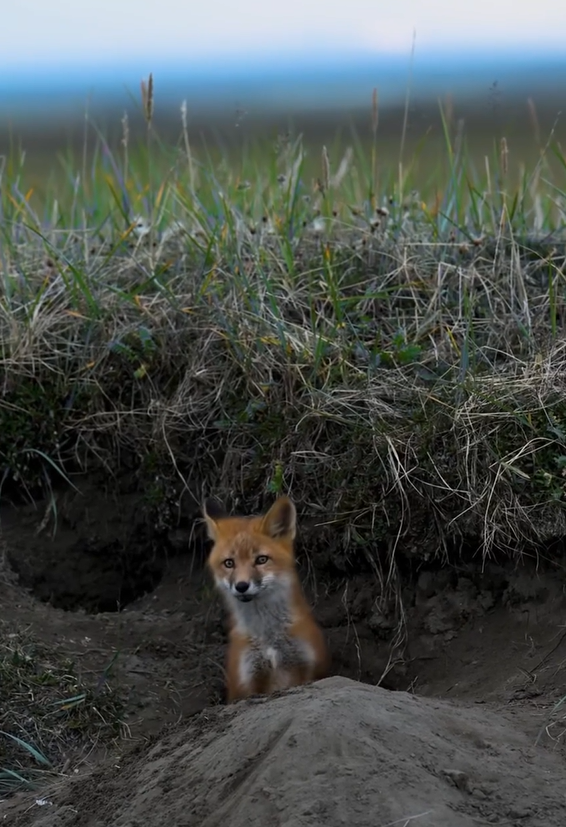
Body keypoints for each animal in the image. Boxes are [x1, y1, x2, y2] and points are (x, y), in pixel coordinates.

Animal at [202, 495, 329, 703]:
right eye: (229, 563)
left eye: (261, 559)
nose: (242, 586)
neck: (270, 639)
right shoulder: (247, 681)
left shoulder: (308, 667)